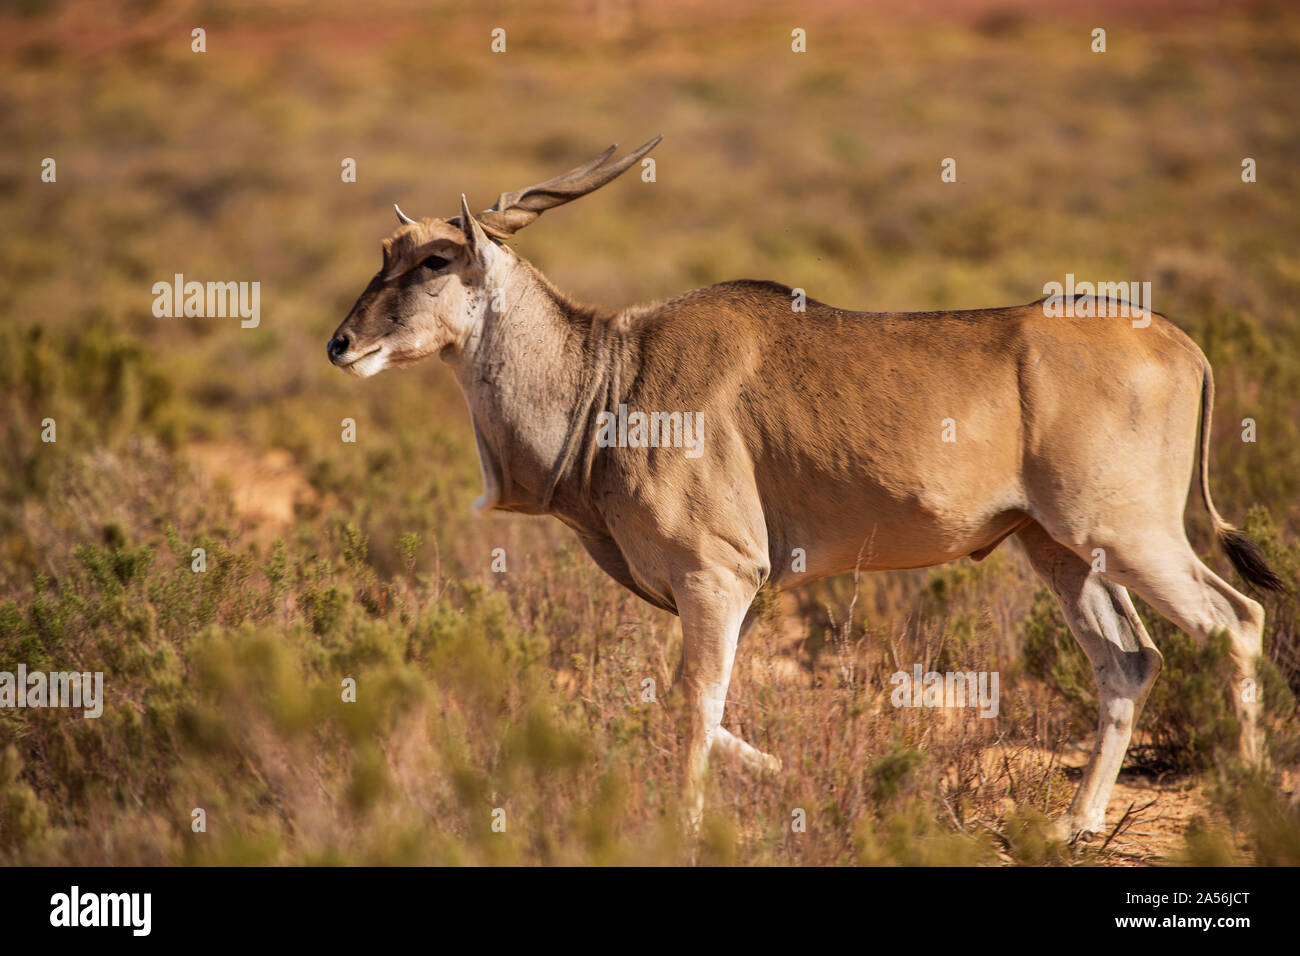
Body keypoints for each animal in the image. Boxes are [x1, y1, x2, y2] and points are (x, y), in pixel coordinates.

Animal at [327, 136, 1286, 840]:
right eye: (384, 254)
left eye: (436, 261)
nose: (341, 344)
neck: (610, 380)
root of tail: (1182, 343)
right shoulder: (727, 591)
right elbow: (700, 706)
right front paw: (780, 769)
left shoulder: (719, 578)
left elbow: (693, 704)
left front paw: (688, 823)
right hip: (1057, 549)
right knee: (1129, 662)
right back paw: (1075, 826)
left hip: (1128, 535)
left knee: (1234, 622)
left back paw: (1247, 801)